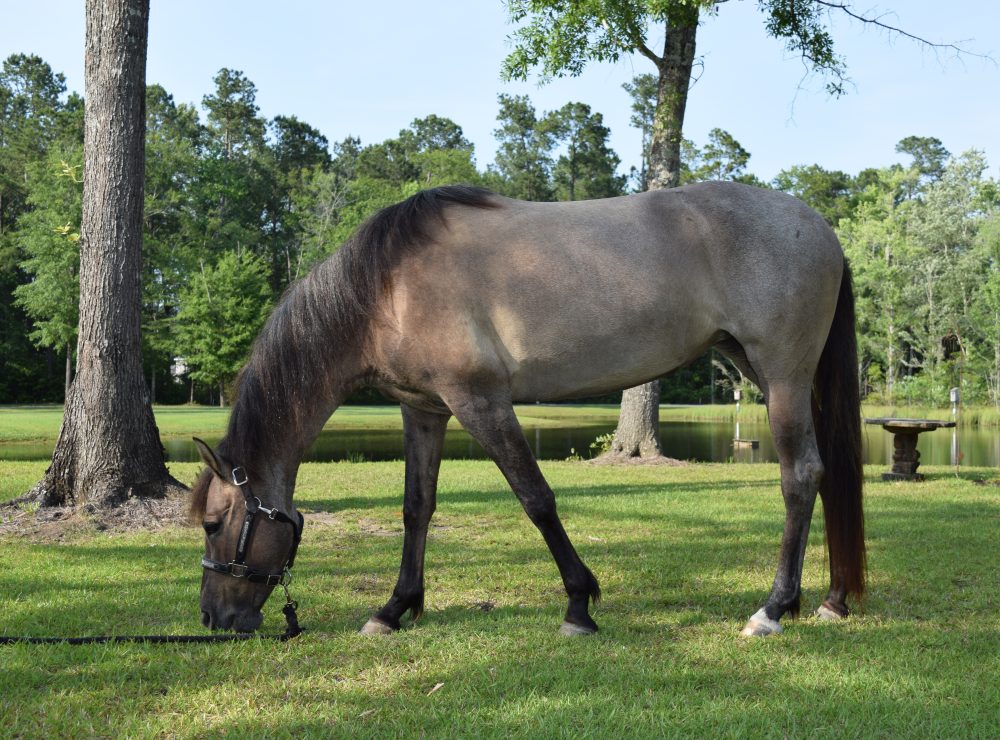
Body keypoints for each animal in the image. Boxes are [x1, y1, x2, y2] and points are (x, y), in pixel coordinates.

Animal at [190, 182, 864, 638]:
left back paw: (772, 609)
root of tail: (821, 229)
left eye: (212, 522)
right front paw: (395, 608)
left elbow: (536, 499)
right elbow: (416, 509)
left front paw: (578, 605)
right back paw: (830, 600)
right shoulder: (424, 411)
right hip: (773, 374)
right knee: (825, 473)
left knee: (800, 476)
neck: (386, 290)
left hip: (781, 376)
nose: (214, 617)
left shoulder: (480, 401)